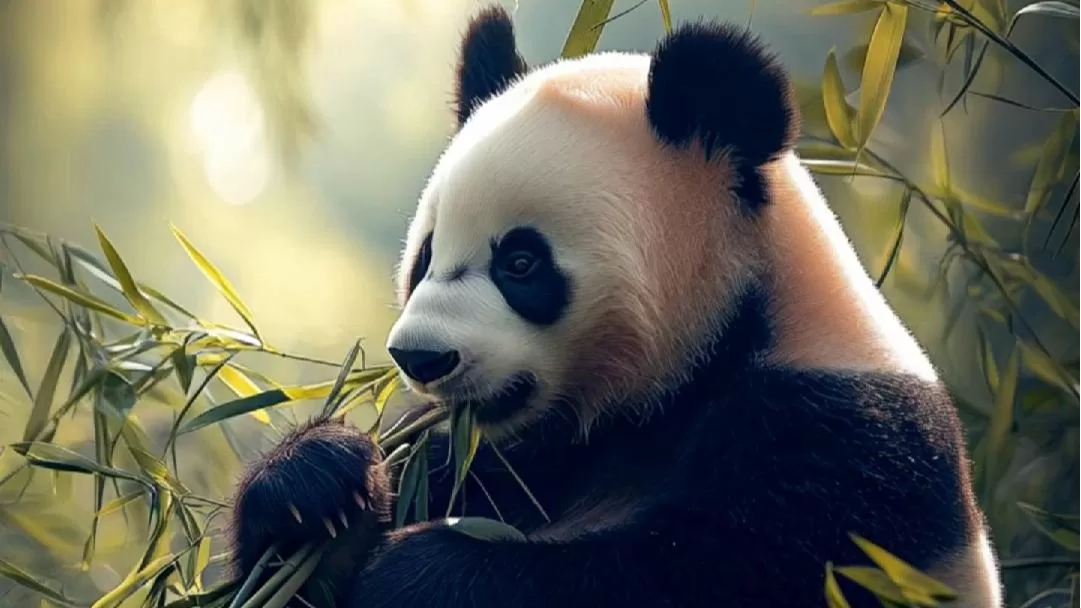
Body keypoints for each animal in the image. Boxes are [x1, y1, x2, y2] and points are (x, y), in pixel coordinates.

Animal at [227, 5, 1003, 607]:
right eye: (424, 258)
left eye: (520, 262)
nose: (419, 356)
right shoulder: (503, 454)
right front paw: (318, 487)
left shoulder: (840, 451)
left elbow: (686, 574)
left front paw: (415, 570)